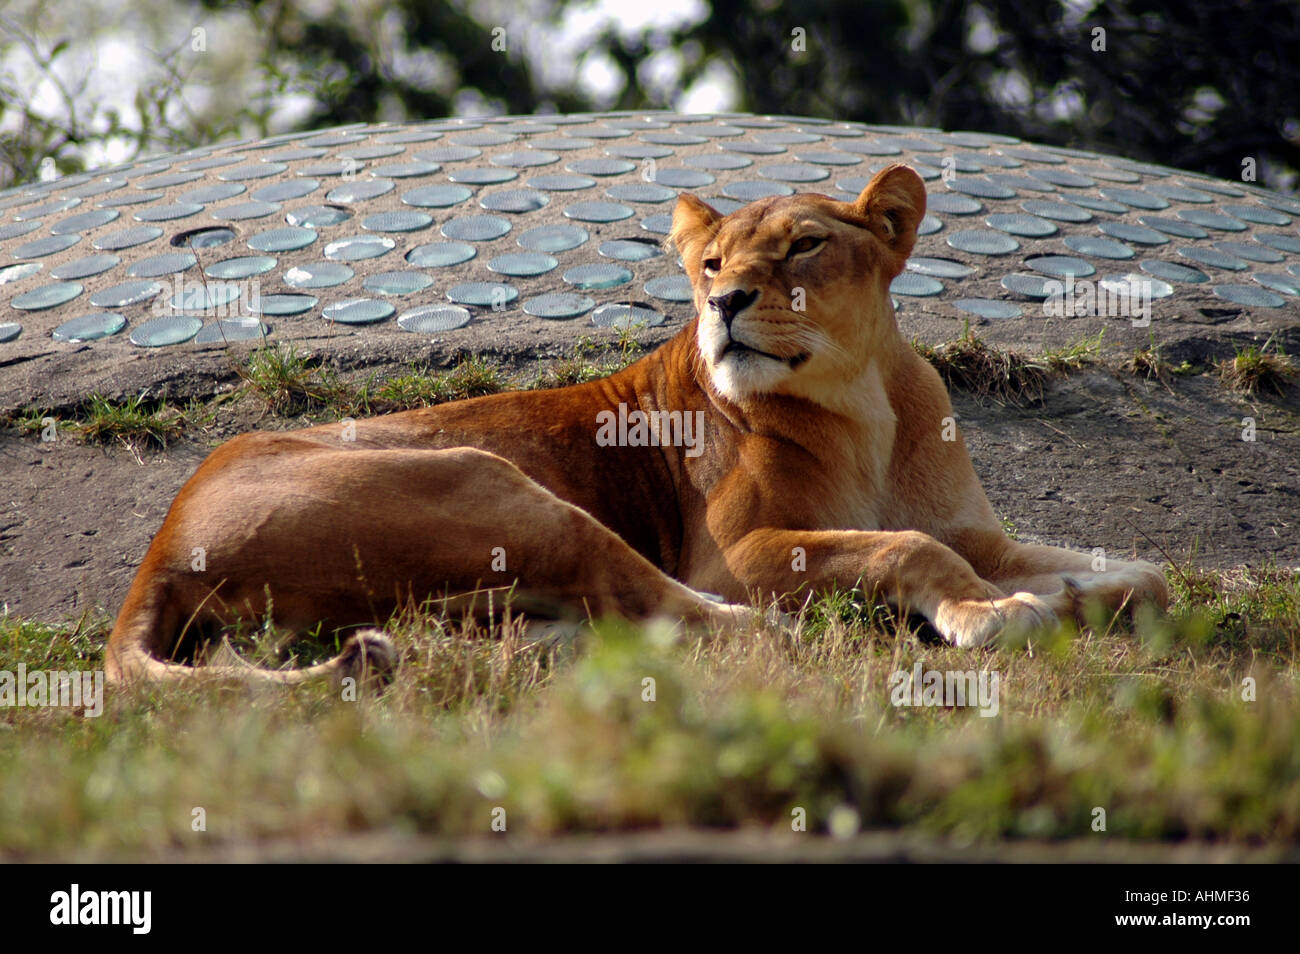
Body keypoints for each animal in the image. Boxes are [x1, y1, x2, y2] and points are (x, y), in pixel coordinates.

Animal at [103, 163, 1168, 686]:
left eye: (804, 246)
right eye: (712, 265)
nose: (726, 303)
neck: (862, 398)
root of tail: (159, 546)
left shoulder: (975, 530)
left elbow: (1136, 569)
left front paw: (1090, 593)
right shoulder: (736, 553)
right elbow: (907, 547)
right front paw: (994, 613)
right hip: (491, 483)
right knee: (690, 614)